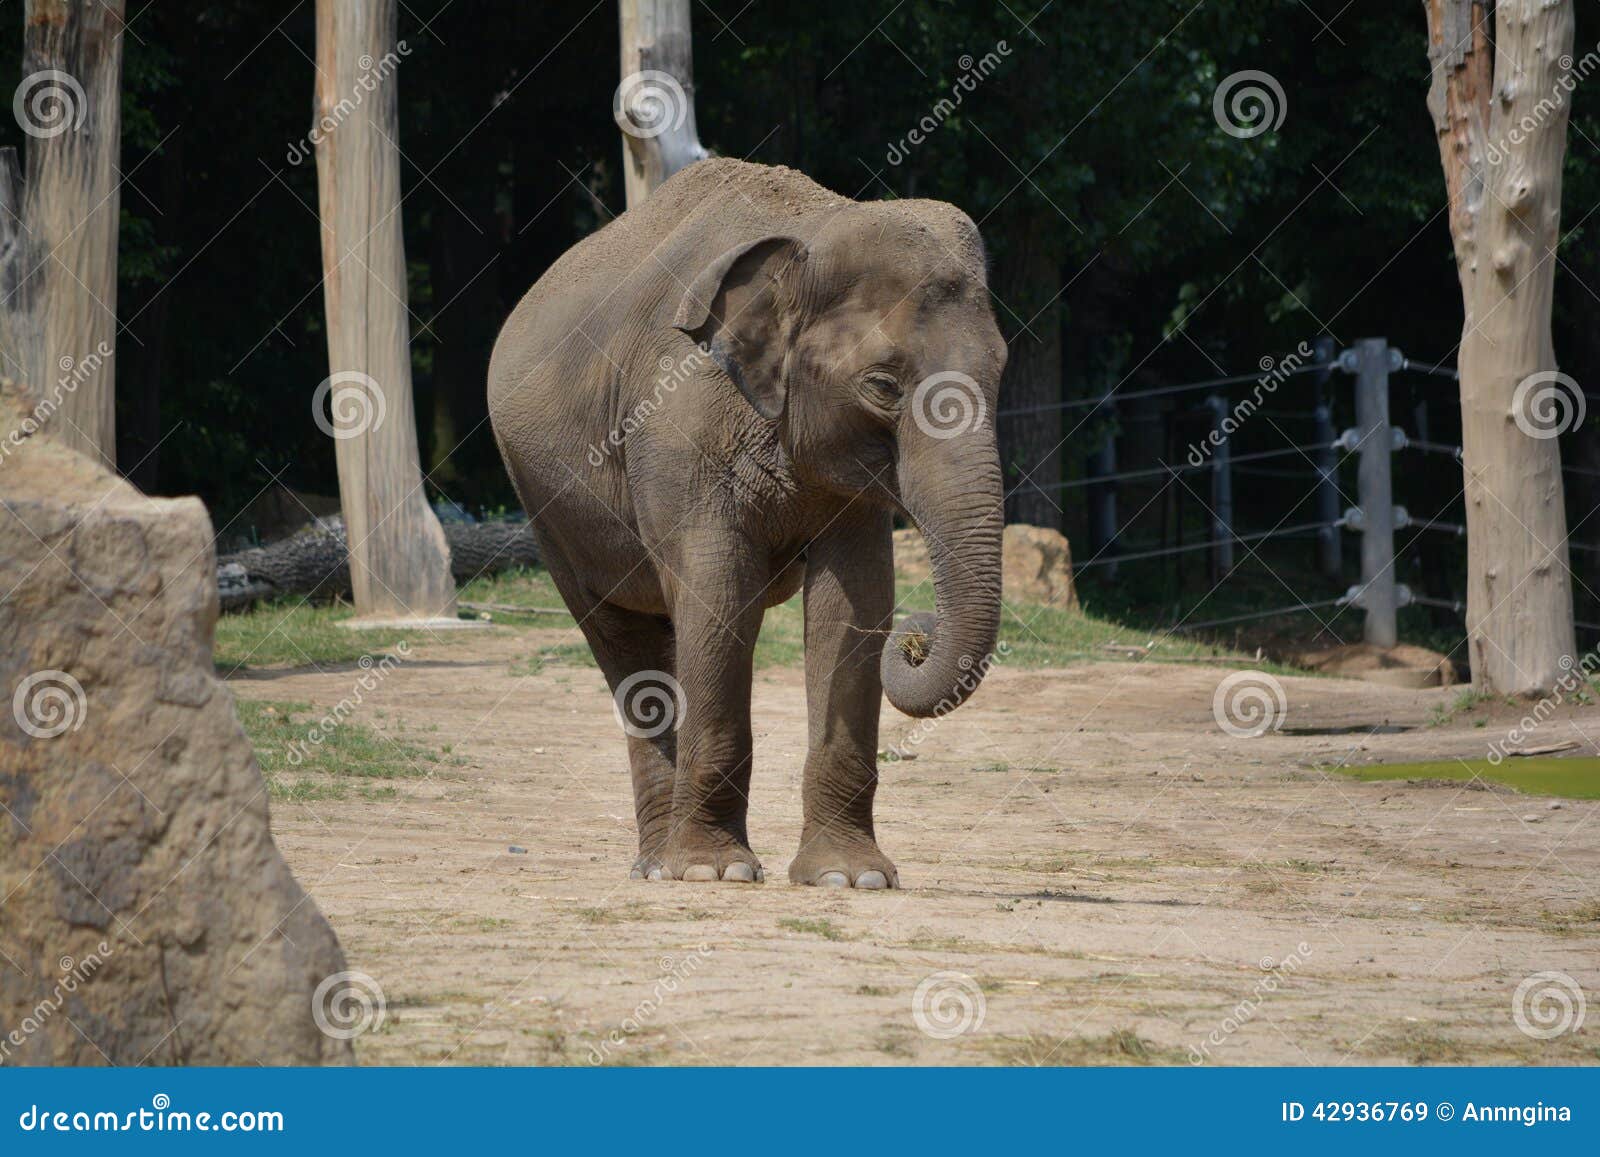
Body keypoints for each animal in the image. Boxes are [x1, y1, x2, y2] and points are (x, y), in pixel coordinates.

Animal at [488, 158, 1006, 889]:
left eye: (1001, 370)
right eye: (883, 385)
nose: (916, 637)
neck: (813, 229)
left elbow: (854, 602)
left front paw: (850, 878)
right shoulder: (677, 428)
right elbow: (721, 593)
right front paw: (716, 872)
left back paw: (660, 859)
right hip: (543, 505)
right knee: (621, 641)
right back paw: (660, 866)